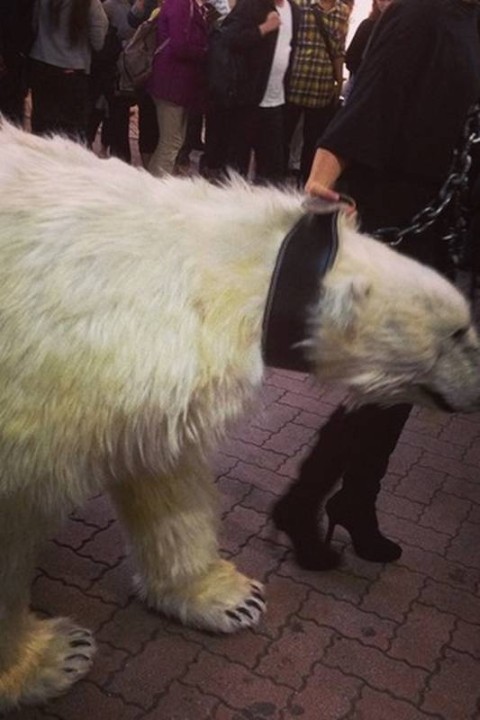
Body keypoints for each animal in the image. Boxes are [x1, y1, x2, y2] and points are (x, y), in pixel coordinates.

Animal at [1, 121, 479, 711]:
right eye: (457, 331)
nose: (479, 385)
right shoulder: (50, 378)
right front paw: (52, 657)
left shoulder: (146, 374)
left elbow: (164, 470)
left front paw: (230, 597)